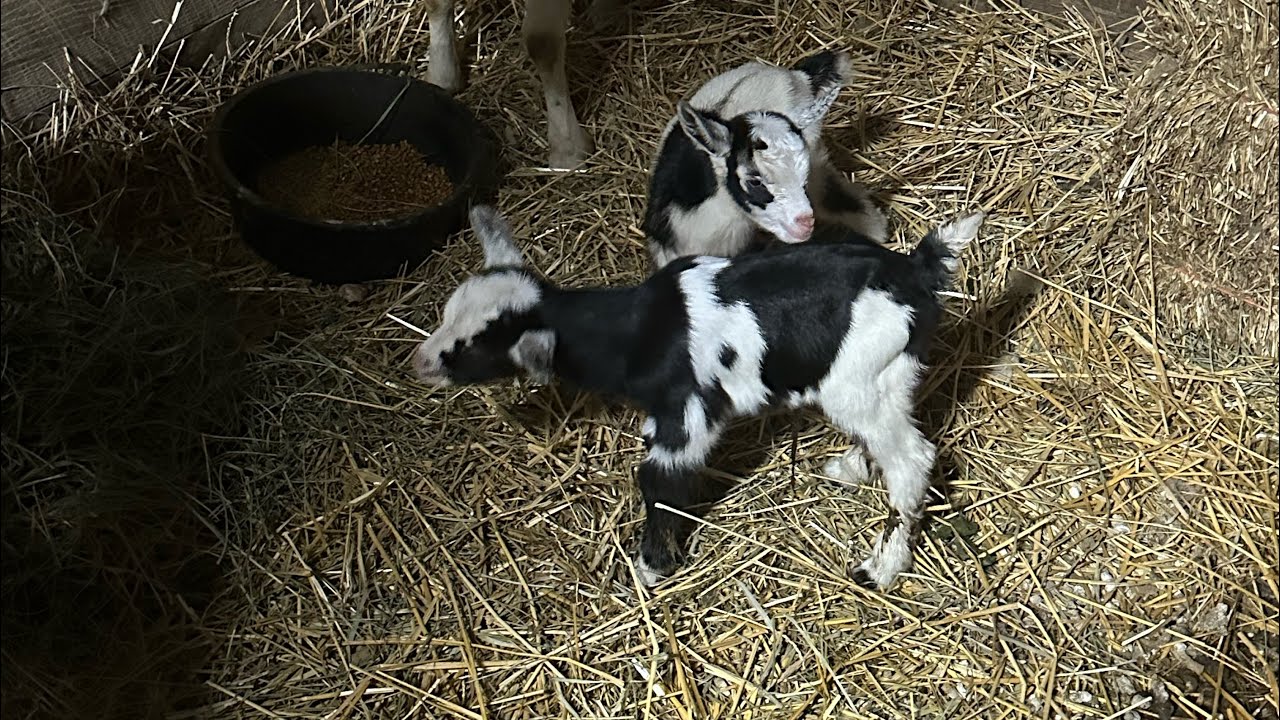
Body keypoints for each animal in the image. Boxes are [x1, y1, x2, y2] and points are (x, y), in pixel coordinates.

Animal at [411, 205, 985, 589]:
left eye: (474, 344)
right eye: (448, 313)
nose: (420, 361)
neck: (642, 329)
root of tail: (915, 270)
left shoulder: (685, 412)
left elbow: (659, 479)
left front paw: (650, 567)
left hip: (858, 381)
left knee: (913, 459)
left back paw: (881, 567)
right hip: (888, 378)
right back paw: (851, 467)